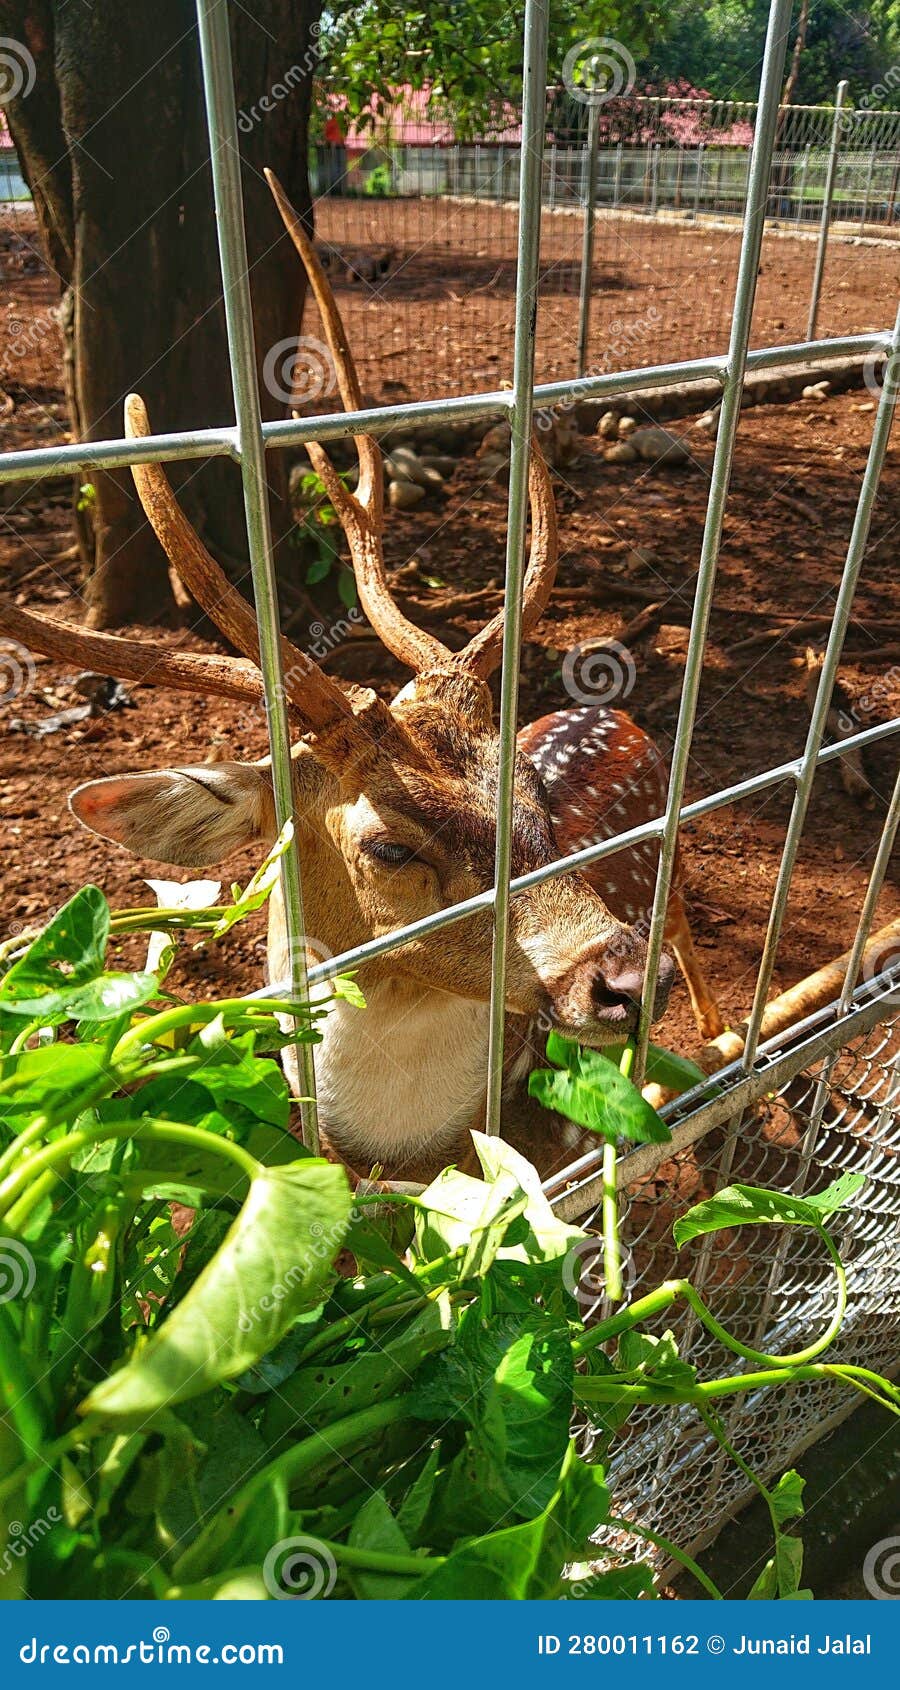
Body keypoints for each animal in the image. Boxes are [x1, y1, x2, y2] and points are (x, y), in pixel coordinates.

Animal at [0, 171, 721, 1186]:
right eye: (389, 846)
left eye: (535, 796)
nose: (622, 980)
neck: (405, 1150)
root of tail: (623, 723)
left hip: (679, 878)